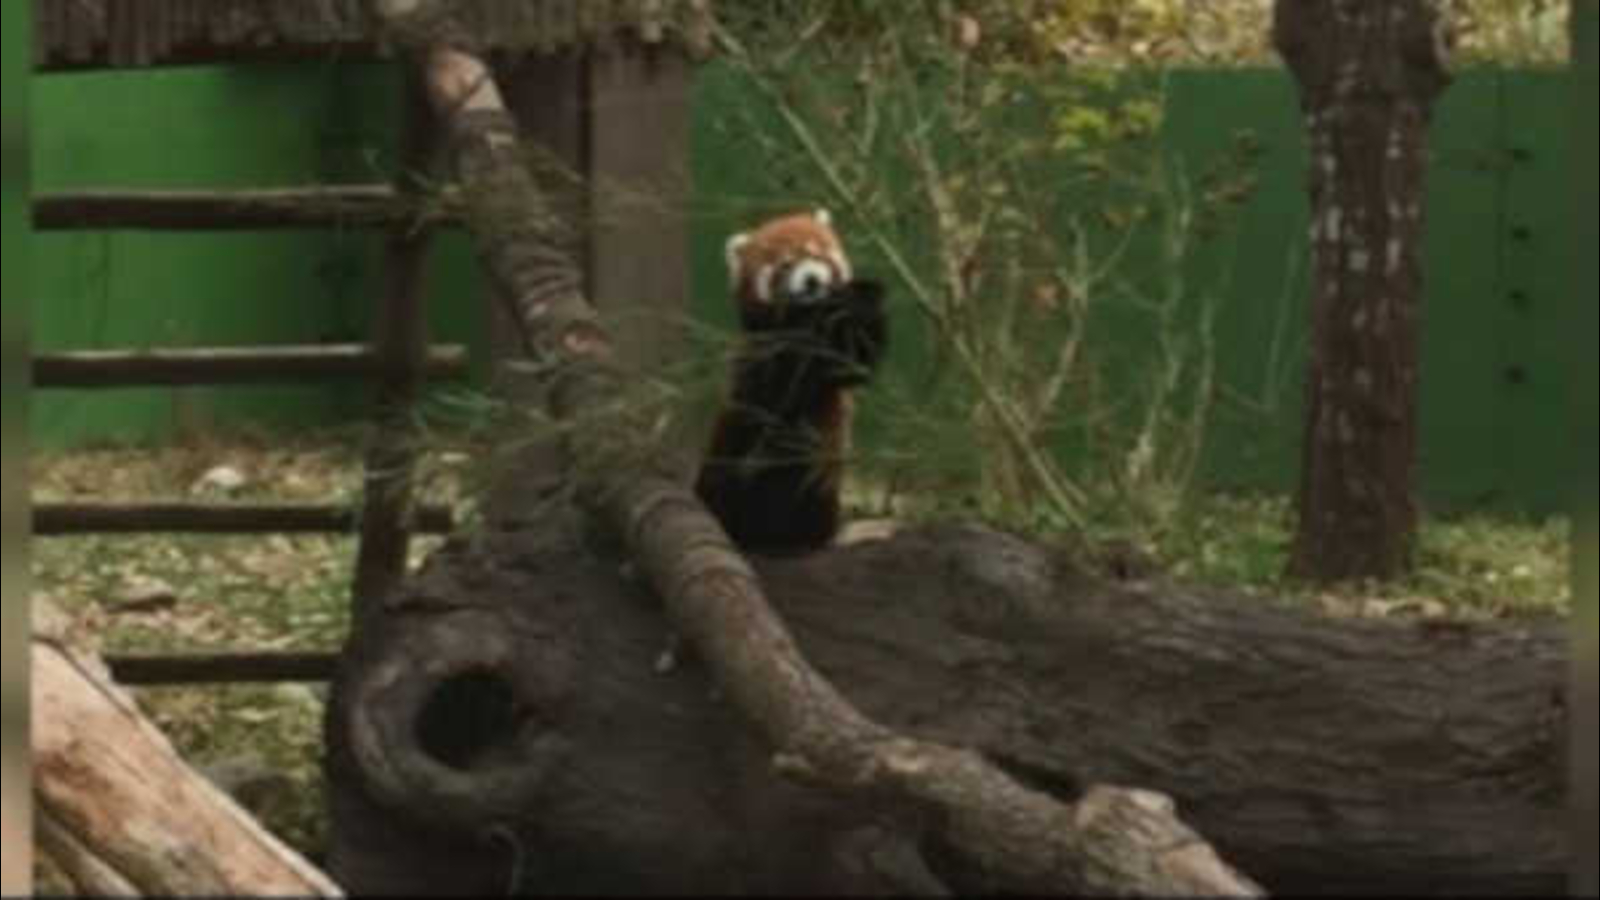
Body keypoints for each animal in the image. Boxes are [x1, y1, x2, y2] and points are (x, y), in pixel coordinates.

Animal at [695, 208, 889, 555]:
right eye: (785, 265)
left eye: (817, 254)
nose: (812, 280)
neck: (808, 318)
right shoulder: (763, 357)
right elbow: (782, 389)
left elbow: (854, 360)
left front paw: (863, 298)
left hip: (823, 491)